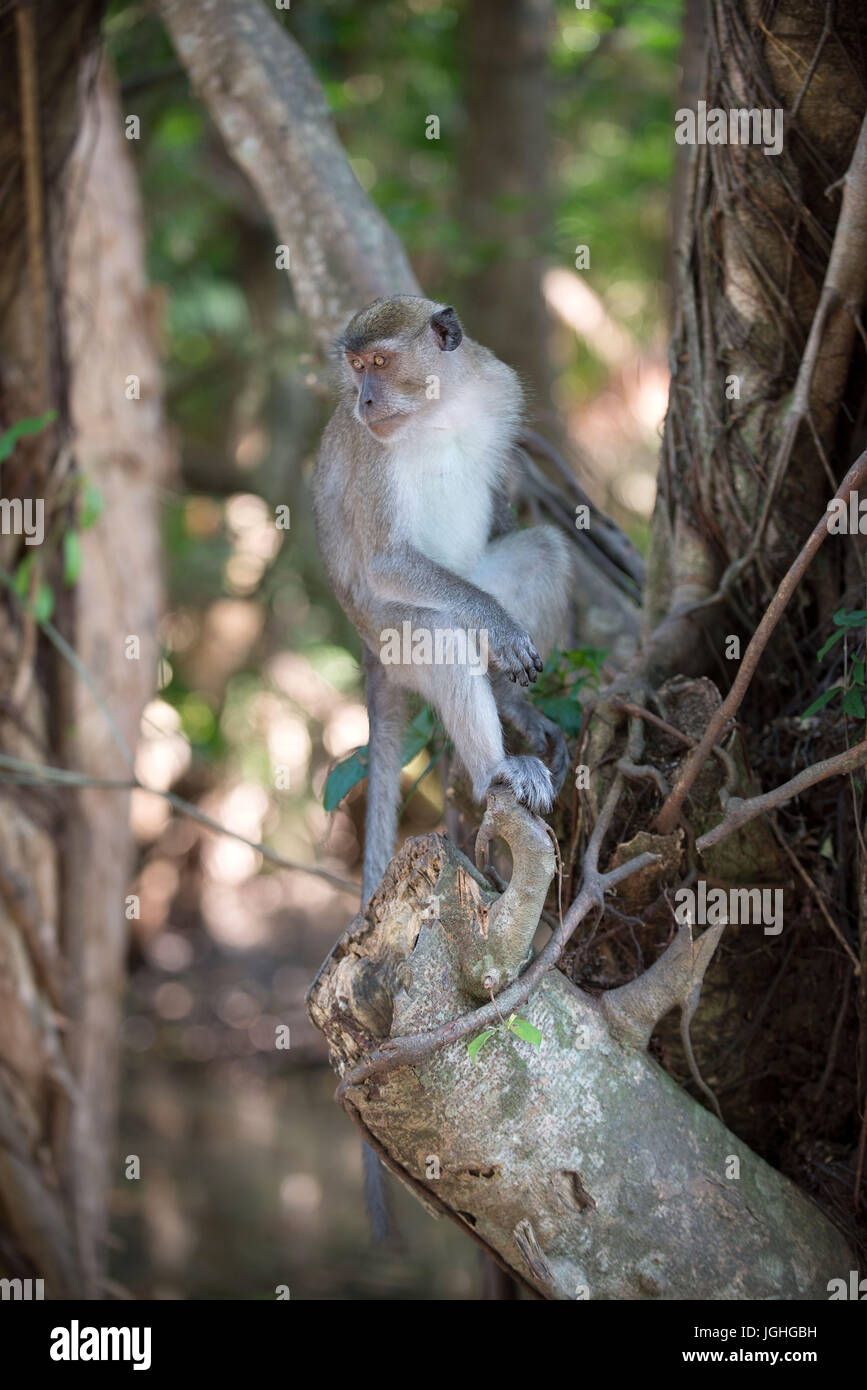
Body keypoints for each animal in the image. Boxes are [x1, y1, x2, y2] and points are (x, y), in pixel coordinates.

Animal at [312, 295, 573, 1235]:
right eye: (354, 369)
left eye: (378, 364)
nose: (361, 402)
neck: (437, 408)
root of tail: (365, 656)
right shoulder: (373, 472)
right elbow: (394, 560)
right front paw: (495, 637)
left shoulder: (497, 389)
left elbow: (507, 512)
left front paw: (519, 685)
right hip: (390, 636)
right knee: (440, 631)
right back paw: (498, 768)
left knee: (538, 552)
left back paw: (517, 717)